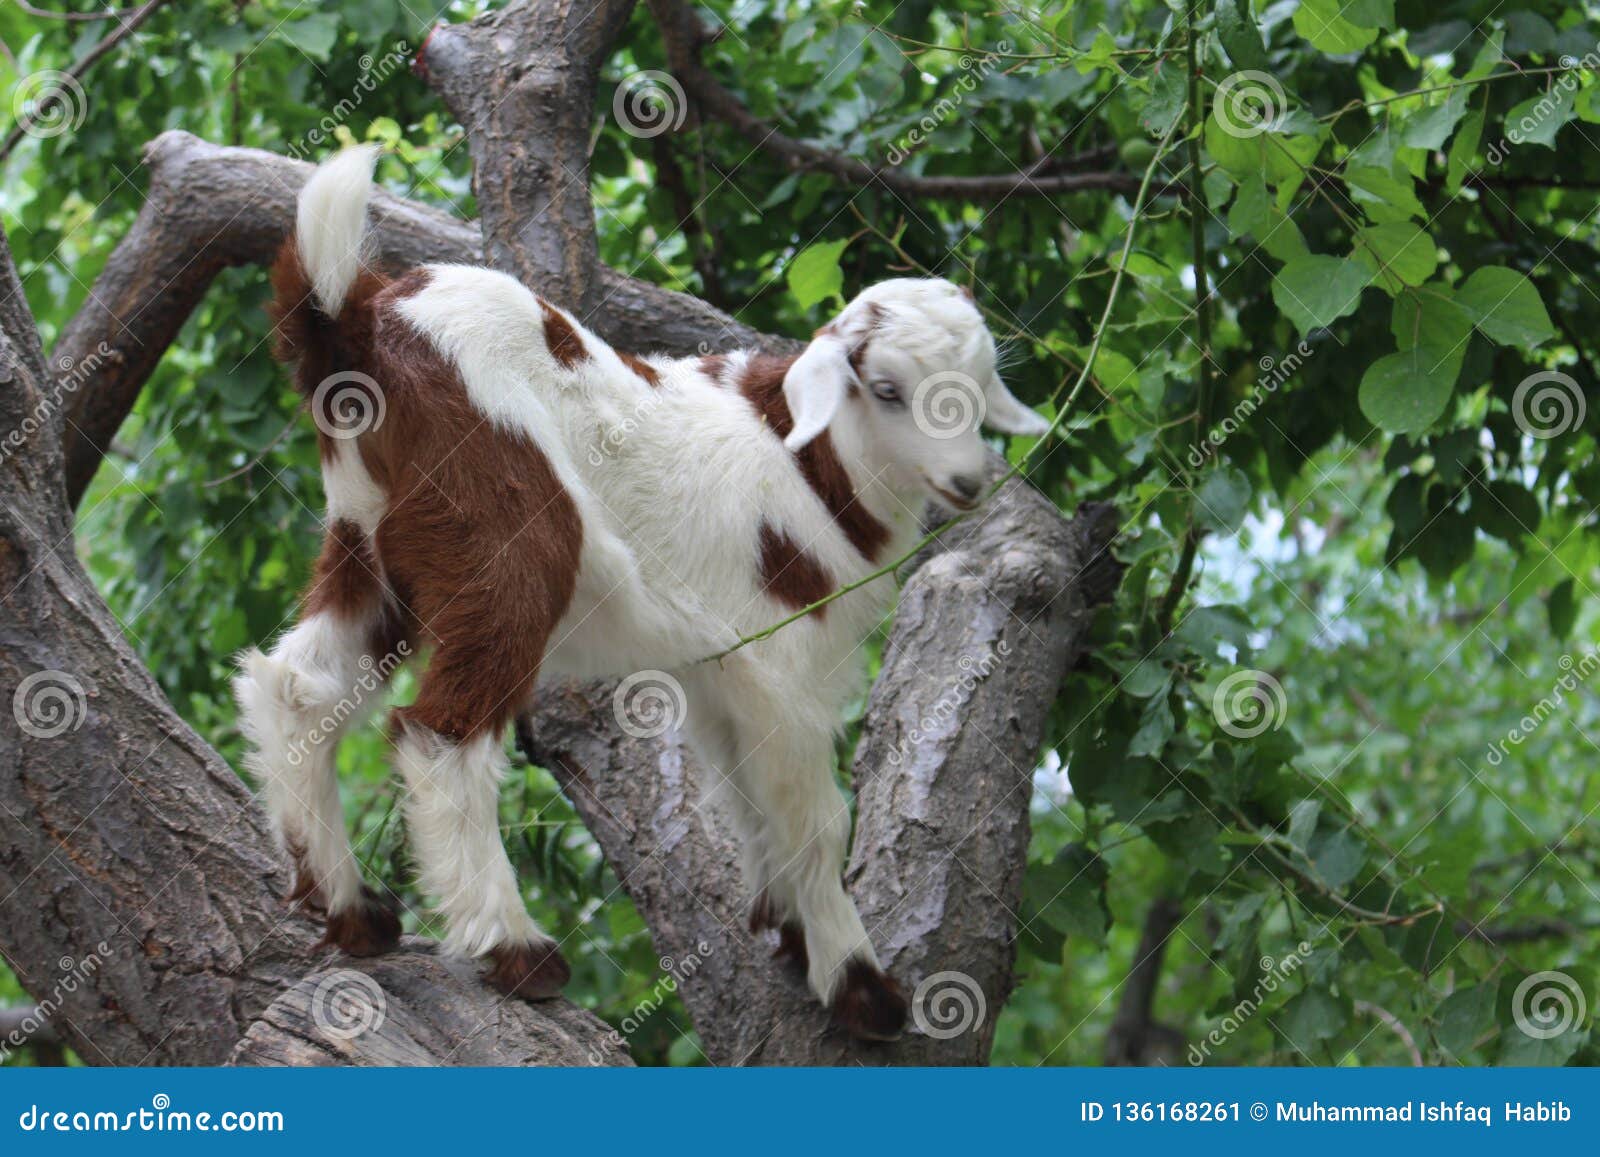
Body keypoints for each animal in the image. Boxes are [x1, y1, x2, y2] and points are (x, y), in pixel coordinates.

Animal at [233, 145, 1050, 1042]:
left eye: (982, 383)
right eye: (888, 389)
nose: (967, 483)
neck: (809, 463)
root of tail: (360, 320)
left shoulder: (724, 666)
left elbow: (749, 797)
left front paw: (788, 930)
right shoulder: (782, 658)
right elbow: (816, 819)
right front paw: (859, 985)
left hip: (368, 533)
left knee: (297, 687)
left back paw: (349, 908)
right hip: (502, 530)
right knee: (441, 732)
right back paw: (515, 950)